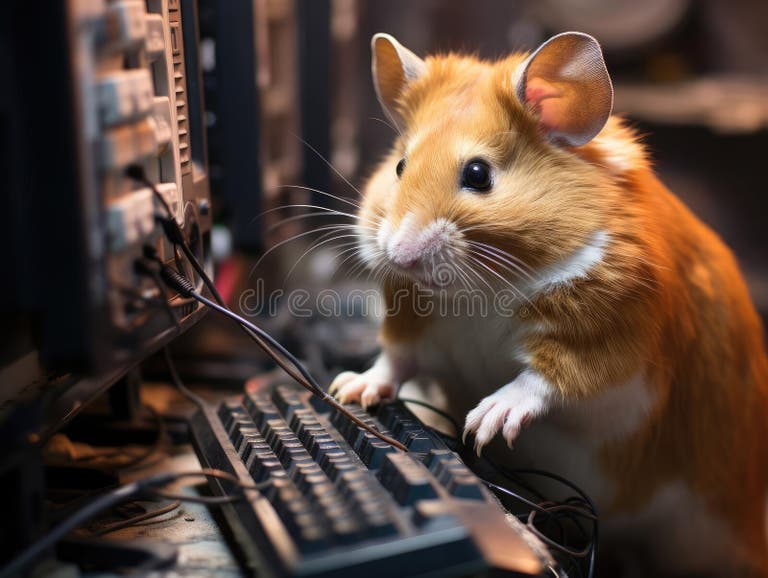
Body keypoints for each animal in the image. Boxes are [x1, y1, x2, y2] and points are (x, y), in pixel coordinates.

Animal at [329, 32, 768, 576]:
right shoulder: (413, 324)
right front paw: (347, 390)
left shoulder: (617, 361)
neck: (480, 290)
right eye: (399, 165)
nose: (400, 255)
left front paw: (483, 425)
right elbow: (394, 360)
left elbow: (547, 380)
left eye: (478, 174)